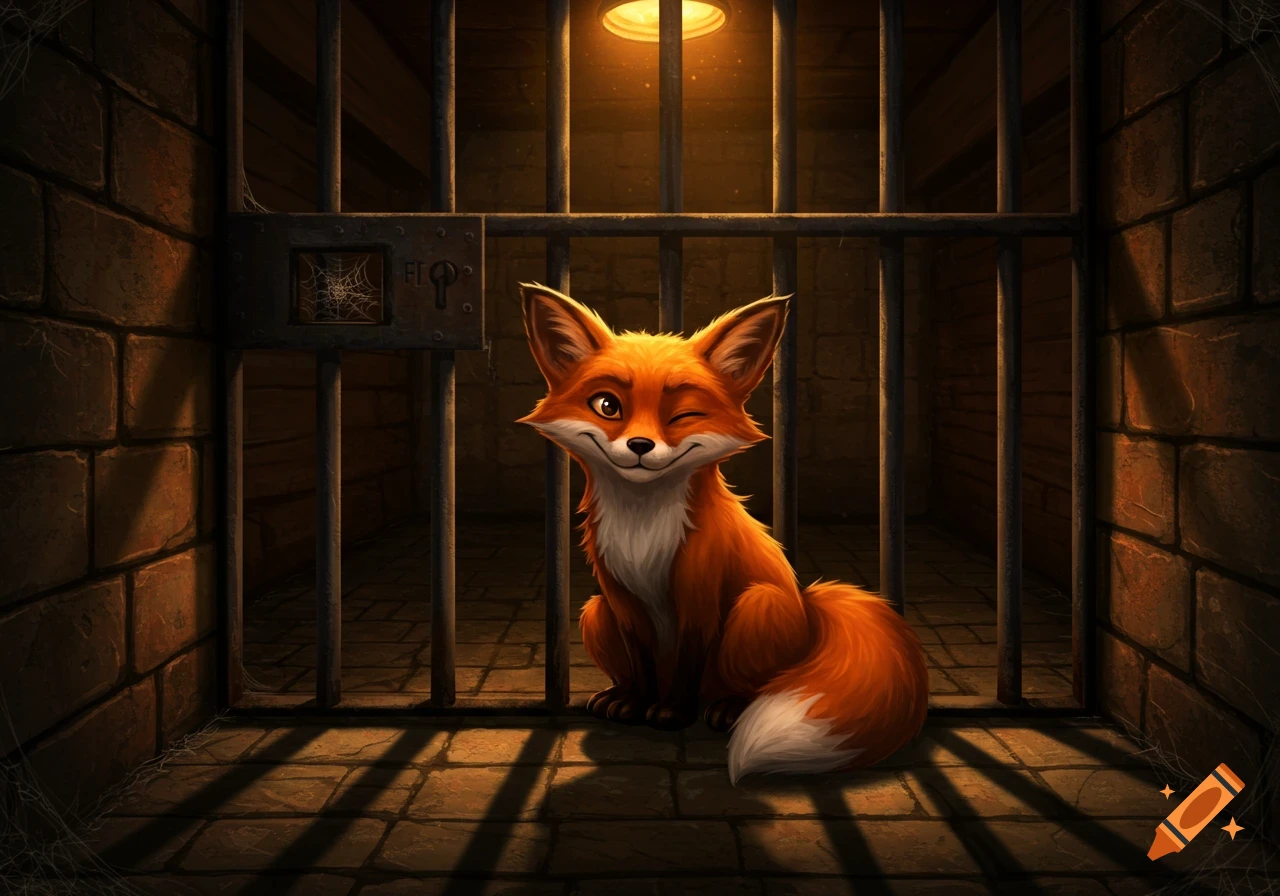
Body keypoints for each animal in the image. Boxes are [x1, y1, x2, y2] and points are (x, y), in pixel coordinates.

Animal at [517, 282, 928, 783]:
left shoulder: (699, 595)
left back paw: (728, 708)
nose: (640, 446)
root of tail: (810, 611)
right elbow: (640, 661)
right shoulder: (621, 598)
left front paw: (672, 713)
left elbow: (689, 663)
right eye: (608, 406)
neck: (643, 533)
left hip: (756, 607)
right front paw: (635, 703)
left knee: (747, 686)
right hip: (595, 613)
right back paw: (622, 695)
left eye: (684, 415)